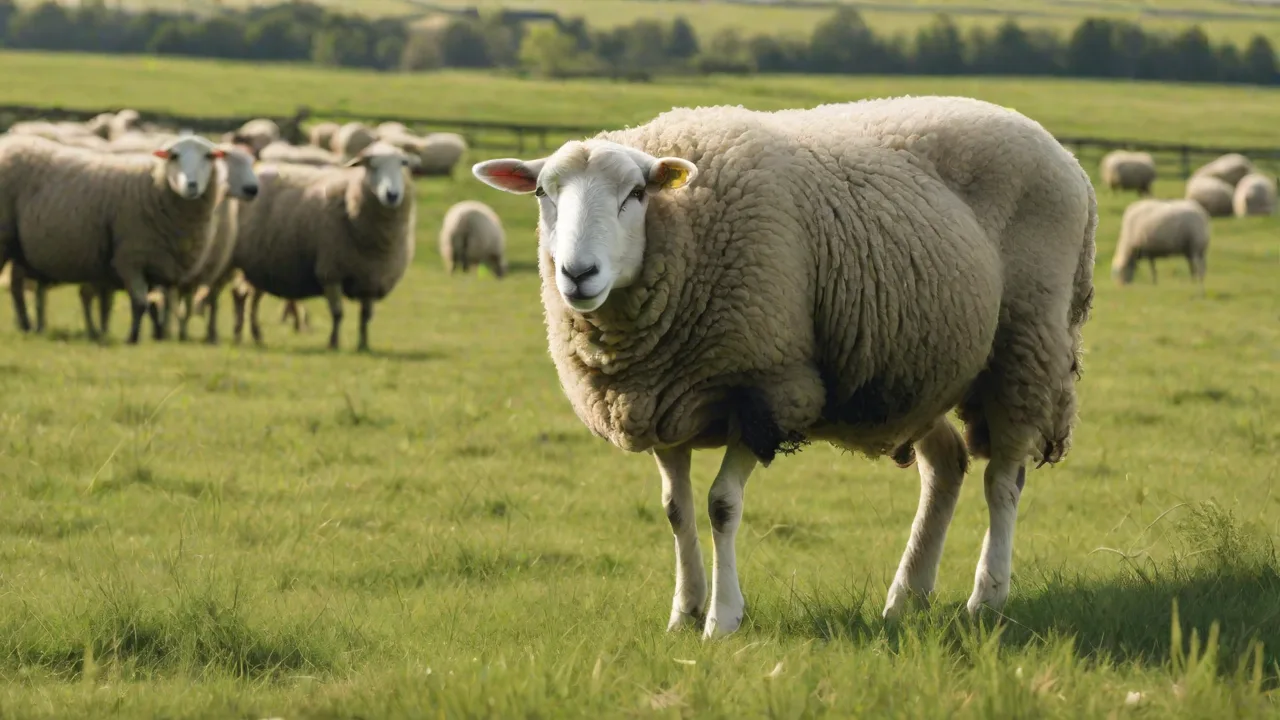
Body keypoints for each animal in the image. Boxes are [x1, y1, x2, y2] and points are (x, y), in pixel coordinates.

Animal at [0, 134, 226, 343]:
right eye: (174, 156)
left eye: (208, 156)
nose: (191, 185)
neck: (155, 184)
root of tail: (8, 140)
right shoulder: (131, 257)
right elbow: (140, 303)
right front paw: (132, 338)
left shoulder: (160, 262)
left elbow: (156, 305)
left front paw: (158, 334)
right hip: (5, 239)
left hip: (19, 248)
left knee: (16, 286)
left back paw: (26, 326)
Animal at [229, 141, 419, 351]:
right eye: (371, 165)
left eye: (403, 163)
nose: (391, 195)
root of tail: (257, 167)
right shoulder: (331, 271)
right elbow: (337, 313)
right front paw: (333, 343)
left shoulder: (371, 277)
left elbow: (365, 317)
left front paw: (363, 345)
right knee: (238, 295)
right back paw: (237, 333)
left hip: (259, 264)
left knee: (247, 298)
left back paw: (253, 336)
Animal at [473, 96, 1097, 637]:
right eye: (542, 193)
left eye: (635, 193)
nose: (578, 274)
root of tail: (1068, 160)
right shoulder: (662, 400)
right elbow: (676, 510)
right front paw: (683, 612)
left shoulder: (770, 389)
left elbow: (721, 506)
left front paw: (722, 620)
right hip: (920, 371)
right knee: (947, 467)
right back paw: (906, 598)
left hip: (1026, 345)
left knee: (1003, 480)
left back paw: (985, 599)